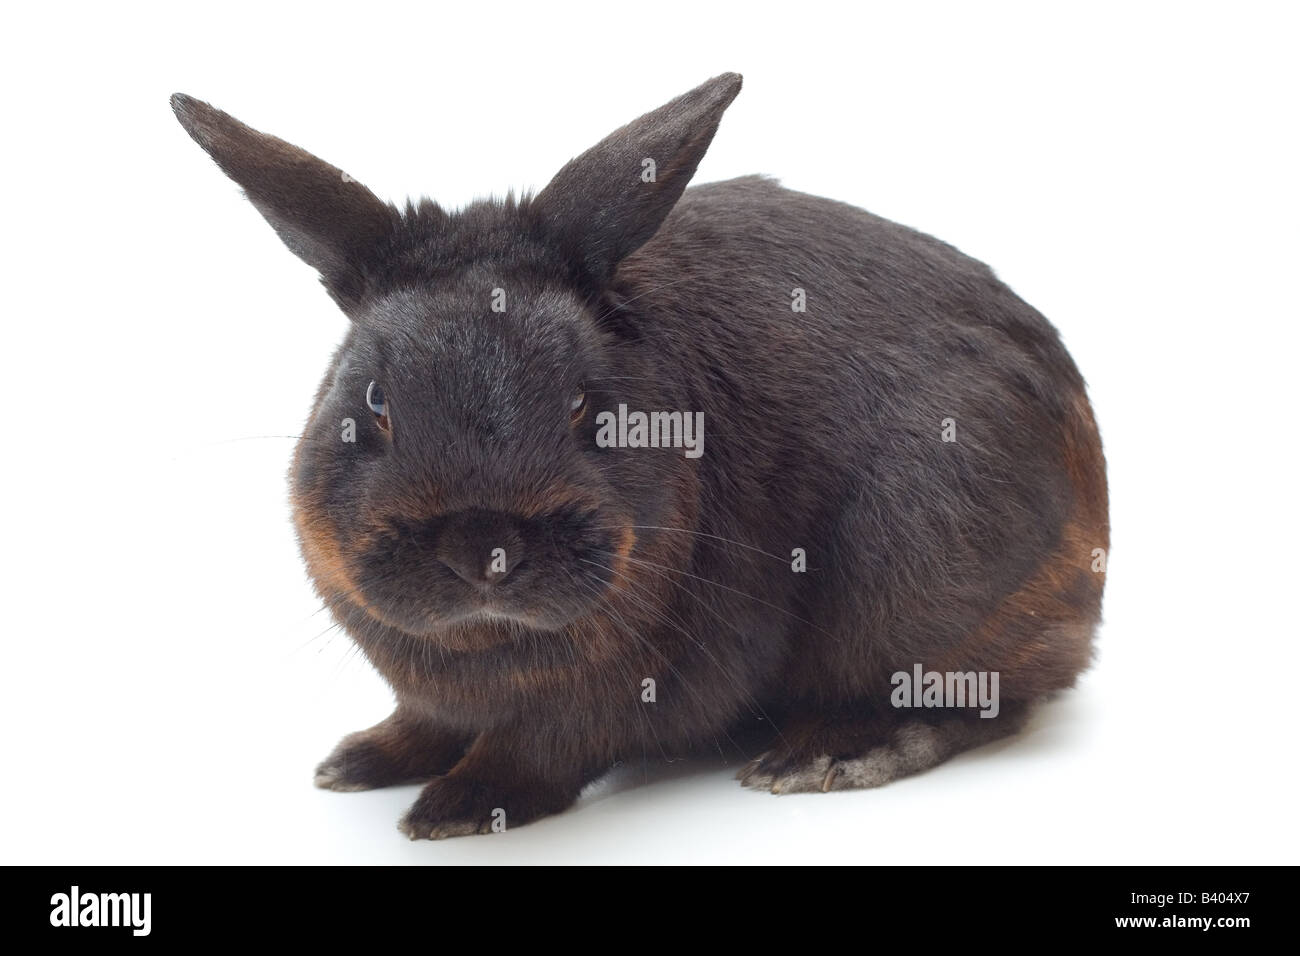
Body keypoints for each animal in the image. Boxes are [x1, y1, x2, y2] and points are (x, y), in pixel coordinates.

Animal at [171, 72, 1108, 840]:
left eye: (585, 404)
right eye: (373, 403)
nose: (483, 551)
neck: (485, 640)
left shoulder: (632, 687)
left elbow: (547, 747)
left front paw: (460, 807)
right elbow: (422, 721)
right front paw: (360, 760)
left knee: (978, 701)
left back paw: (824, 754)